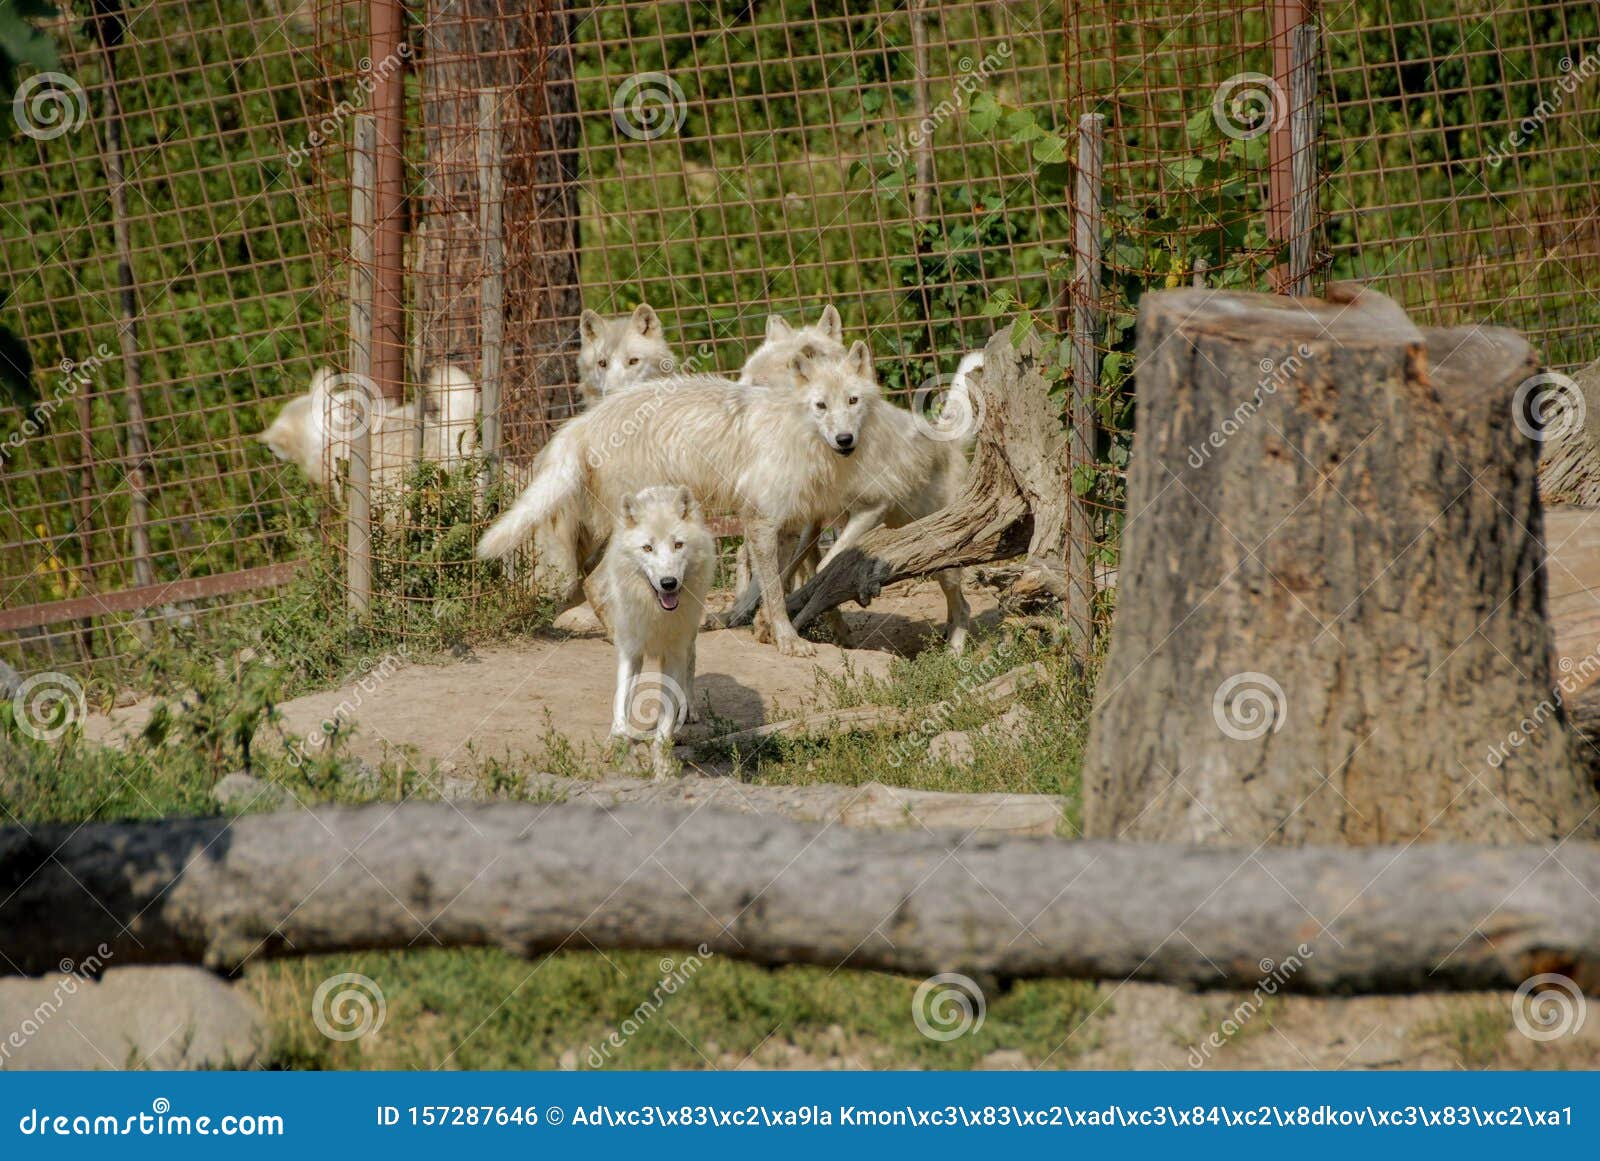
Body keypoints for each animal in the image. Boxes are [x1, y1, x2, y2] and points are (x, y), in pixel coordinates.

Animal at [477, 342, 882, 657]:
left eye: (852, 401)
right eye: (821, 406)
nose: (845, 439)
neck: (797, 434)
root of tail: (583, 422)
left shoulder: (789, 527)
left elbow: (780, 586)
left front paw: (771, 632)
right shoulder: (761, 521)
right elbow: (773, 591)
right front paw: (788, 641)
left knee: (588, 579)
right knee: (595, 582)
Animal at [588, 485, 716, 775]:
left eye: (678, 544)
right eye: (647, 548)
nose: (668, 583)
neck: (657, 612)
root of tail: (662, 487)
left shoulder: (674, 654)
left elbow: (665, 722)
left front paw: (663, 766)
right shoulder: (630, 651)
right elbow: (621, 706)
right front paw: (617, 744)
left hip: (690, 637)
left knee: (690, 668)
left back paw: (689, 709)